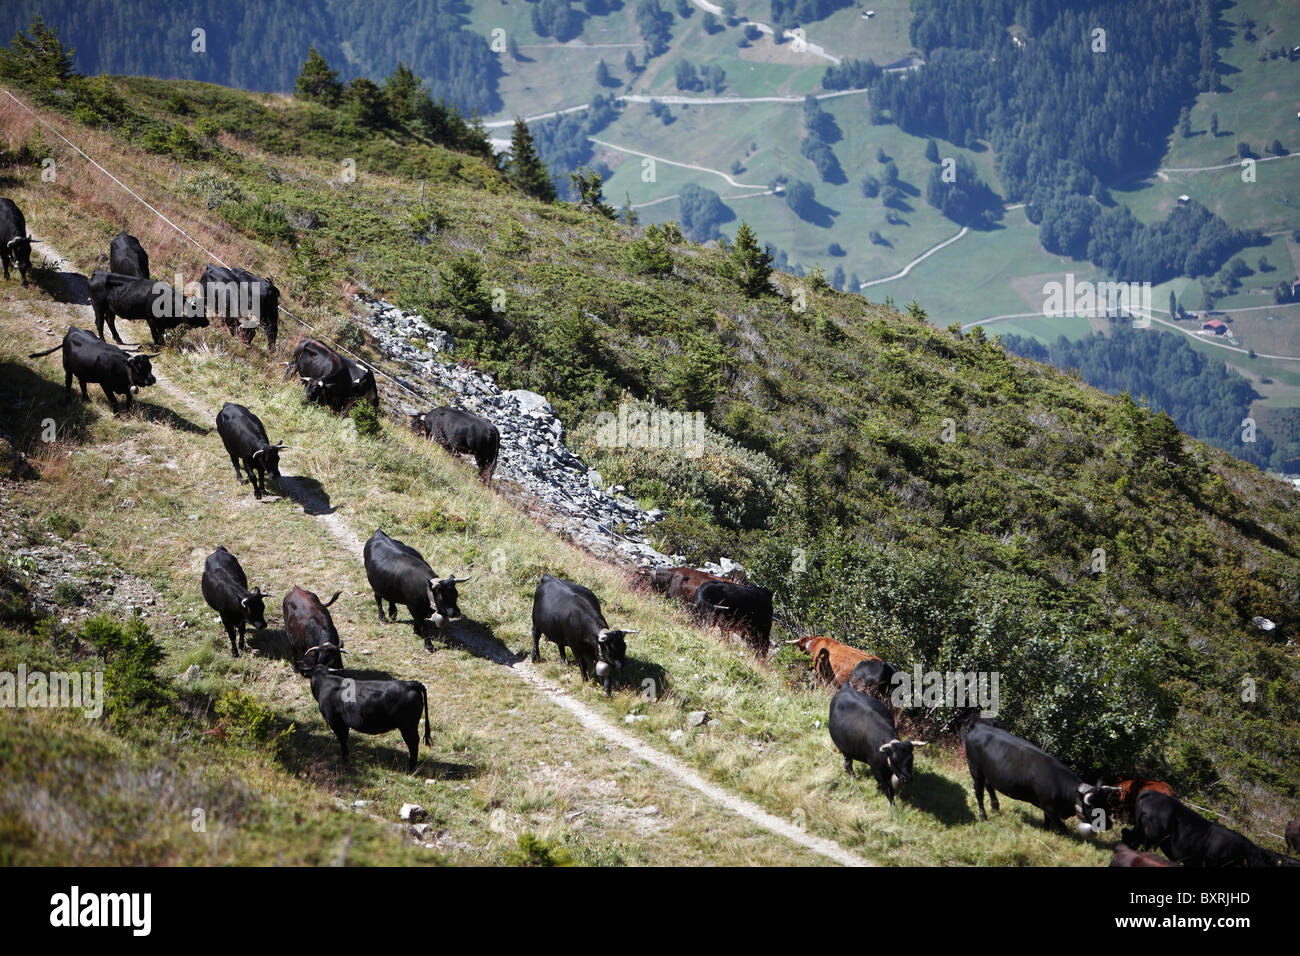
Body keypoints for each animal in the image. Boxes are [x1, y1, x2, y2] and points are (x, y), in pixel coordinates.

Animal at [27, 327, 158, 413]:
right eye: (139, 368)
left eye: (150, 367)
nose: (153, 379)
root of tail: (72, 330)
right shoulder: (105, 385)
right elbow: (114, 401)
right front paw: (116, 415)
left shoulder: (126, 387)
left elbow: (129, 401)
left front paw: (129, 414)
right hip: (67, 368)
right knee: (68, 384)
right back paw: (67, 401)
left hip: (82, 371)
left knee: (82, 383)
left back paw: (86, 400)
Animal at [302, 660, 431, 772]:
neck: (324, 682)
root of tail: (411, 683)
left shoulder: (336, 722)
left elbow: (343, 741)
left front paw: (344, 760)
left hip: (408, 726)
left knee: (413, 743)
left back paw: (411, 769)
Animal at [963, 719, 1115, 835]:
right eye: (1091, 806)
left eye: (1106, 803)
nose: (1109, 825)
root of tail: (978, 726)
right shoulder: (1049, 807)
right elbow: (1062, 827)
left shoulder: (1047, 807)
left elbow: (1047, 822)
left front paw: (1046, 831)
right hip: (975, 769)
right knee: (979, 793)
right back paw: (983, 816)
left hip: (988, 772)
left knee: (989, 787)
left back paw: (995, 807)